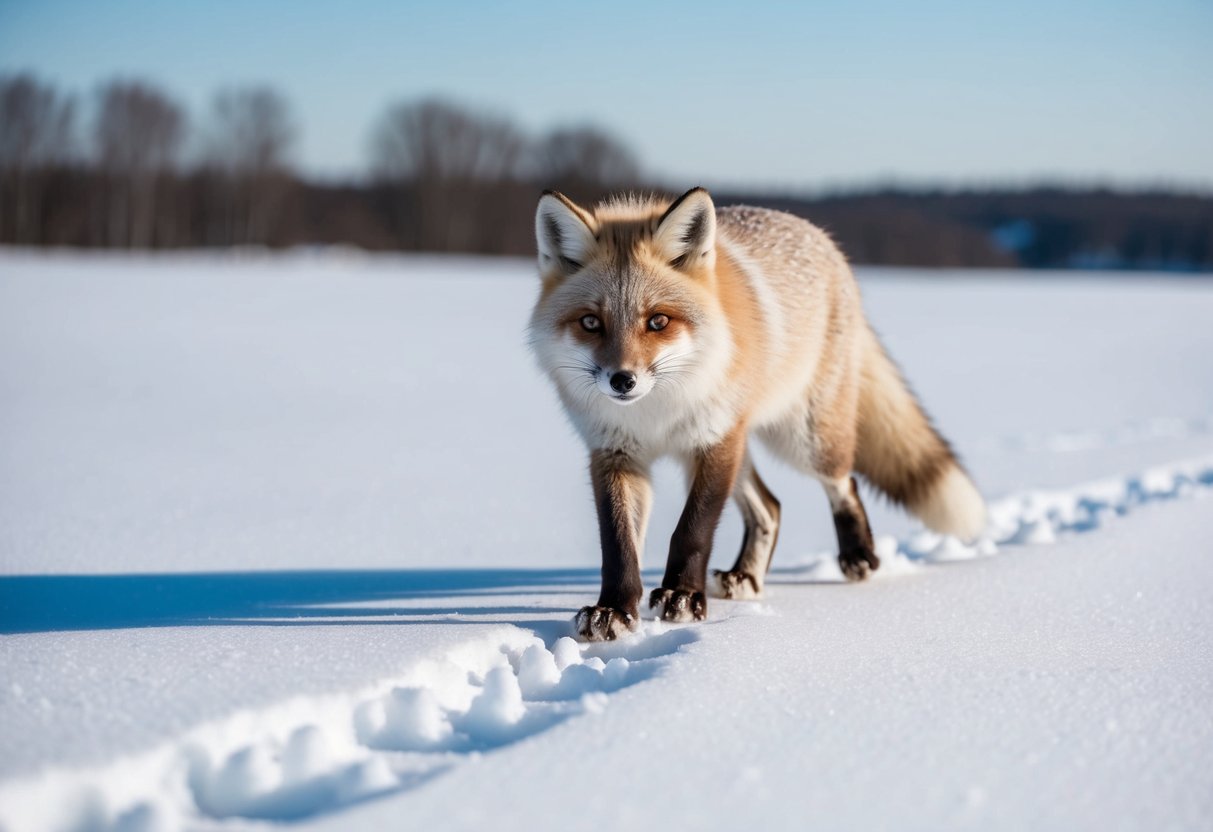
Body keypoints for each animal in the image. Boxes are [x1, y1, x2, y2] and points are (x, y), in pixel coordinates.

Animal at [529, 187, 987, 642]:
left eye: (658, 321)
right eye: (591, 322)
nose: (622, 381)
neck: (655, 412)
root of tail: (820, 236)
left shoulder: (714, 442)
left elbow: (692, 530)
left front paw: (683, 596)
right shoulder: (614, 453)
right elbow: (618, 545)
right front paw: (615, 610)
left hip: (803, 441)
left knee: (845, 482)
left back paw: (858, 555)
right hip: (738, 451)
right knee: (771, 507)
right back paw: (746, 577)